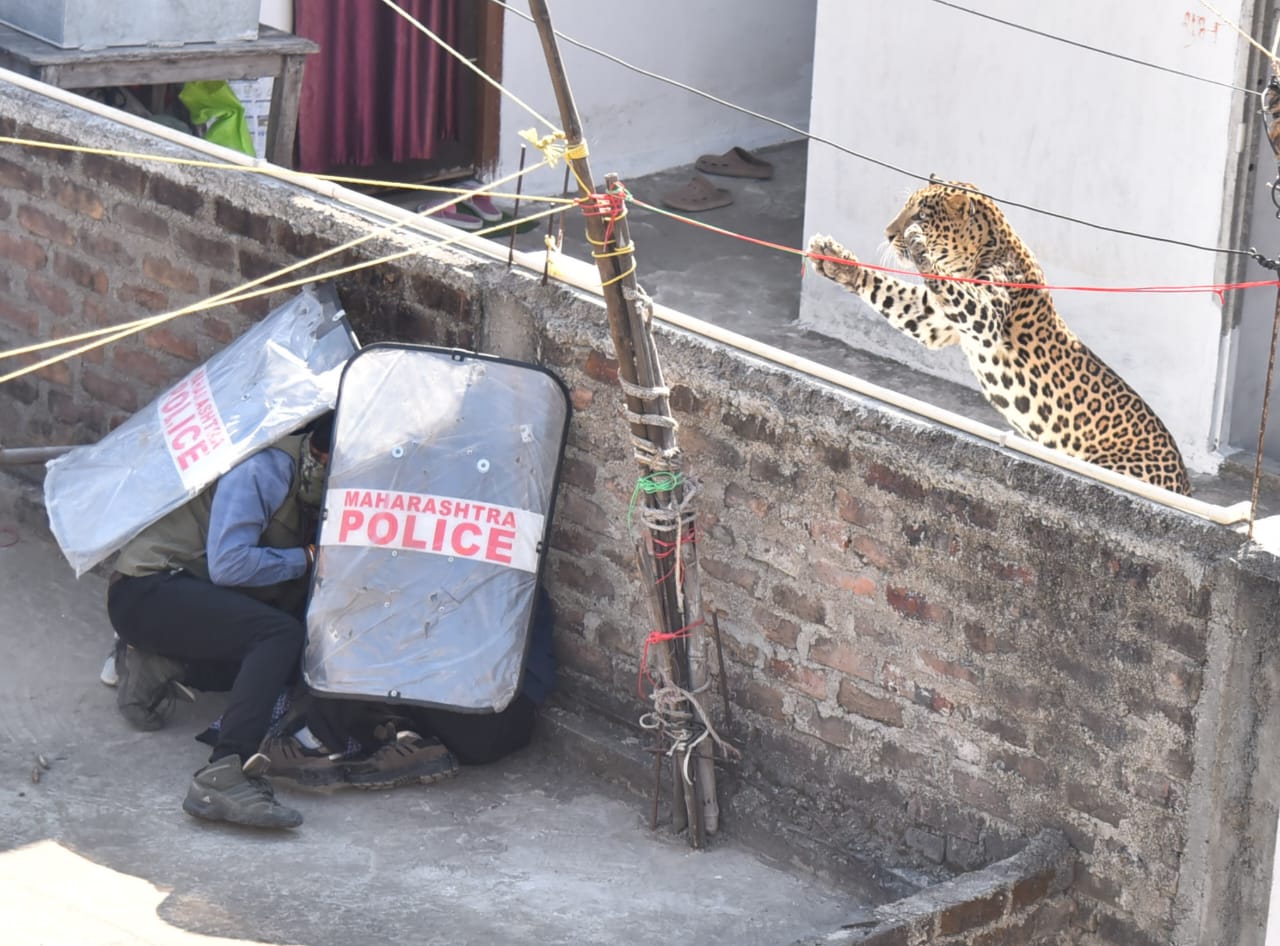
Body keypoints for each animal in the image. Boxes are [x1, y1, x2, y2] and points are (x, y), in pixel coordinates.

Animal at [807, 179, 1191, 496]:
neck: (982, 248)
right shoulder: (935, 320)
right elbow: (891, 292)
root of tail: (1184, 483)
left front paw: (920, 247)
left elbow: (943, 279)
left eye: (920, 214)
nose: (888, 233)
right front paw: (836, 260)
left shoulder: (984, 316)